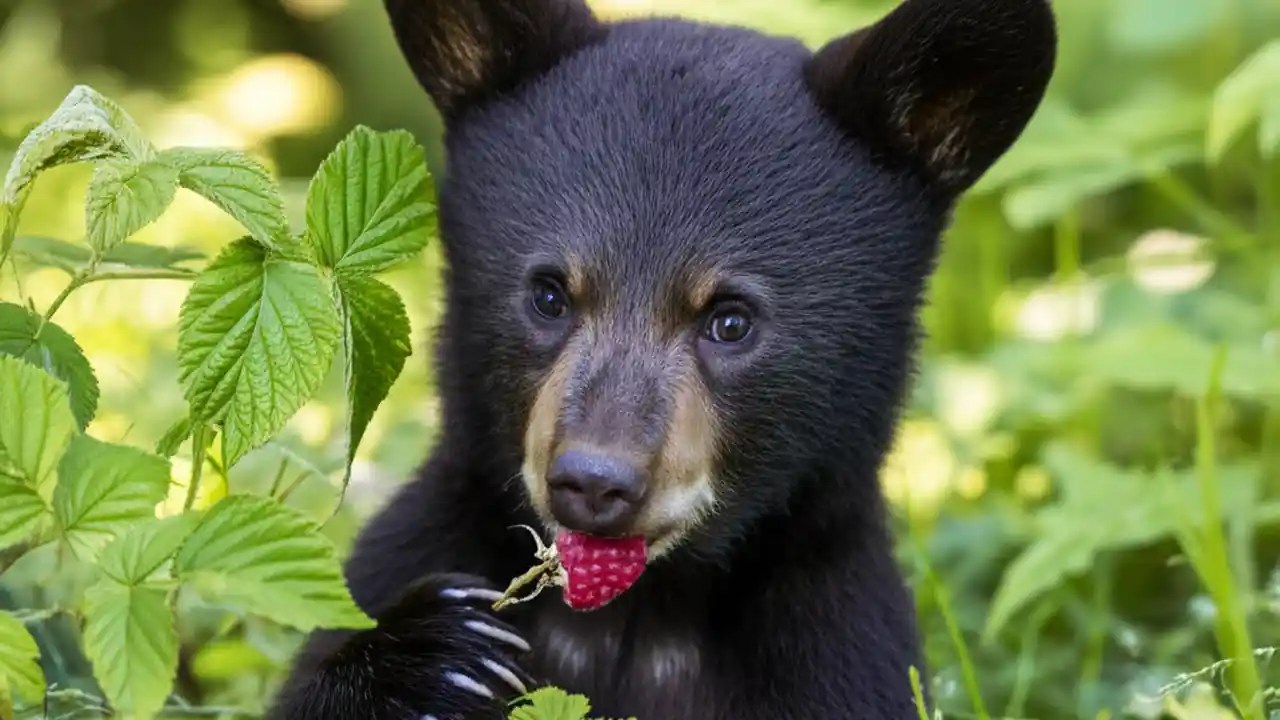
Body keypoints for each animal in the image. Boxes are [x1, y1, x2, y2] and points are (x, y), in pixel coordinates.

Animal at [266, 0, 1057, 718]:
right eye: (548, 295)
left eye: (730, 321)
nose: (594, 481)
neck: (634, 620)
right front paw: (429, 657)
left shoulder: (838, 654)